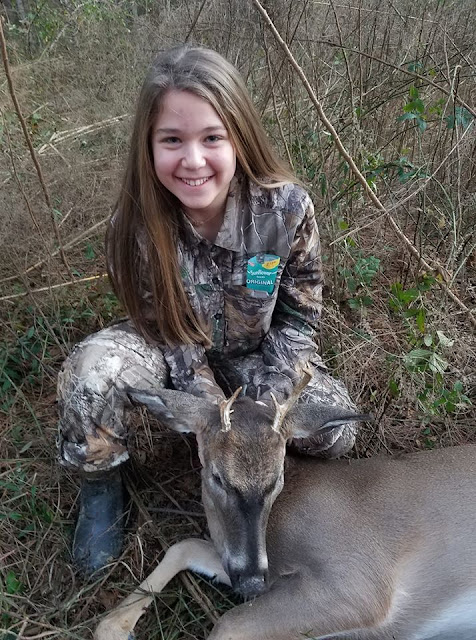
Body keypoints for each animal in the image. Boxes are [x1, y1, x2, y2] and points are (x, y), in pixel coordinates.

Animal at [94, 372, 476, 640]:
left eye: (277, 477)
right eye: (217, 477)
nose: (250, 582)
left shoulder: (359, 581)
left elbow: (226, 625)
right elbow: (183, 545)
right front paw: (114, 626)